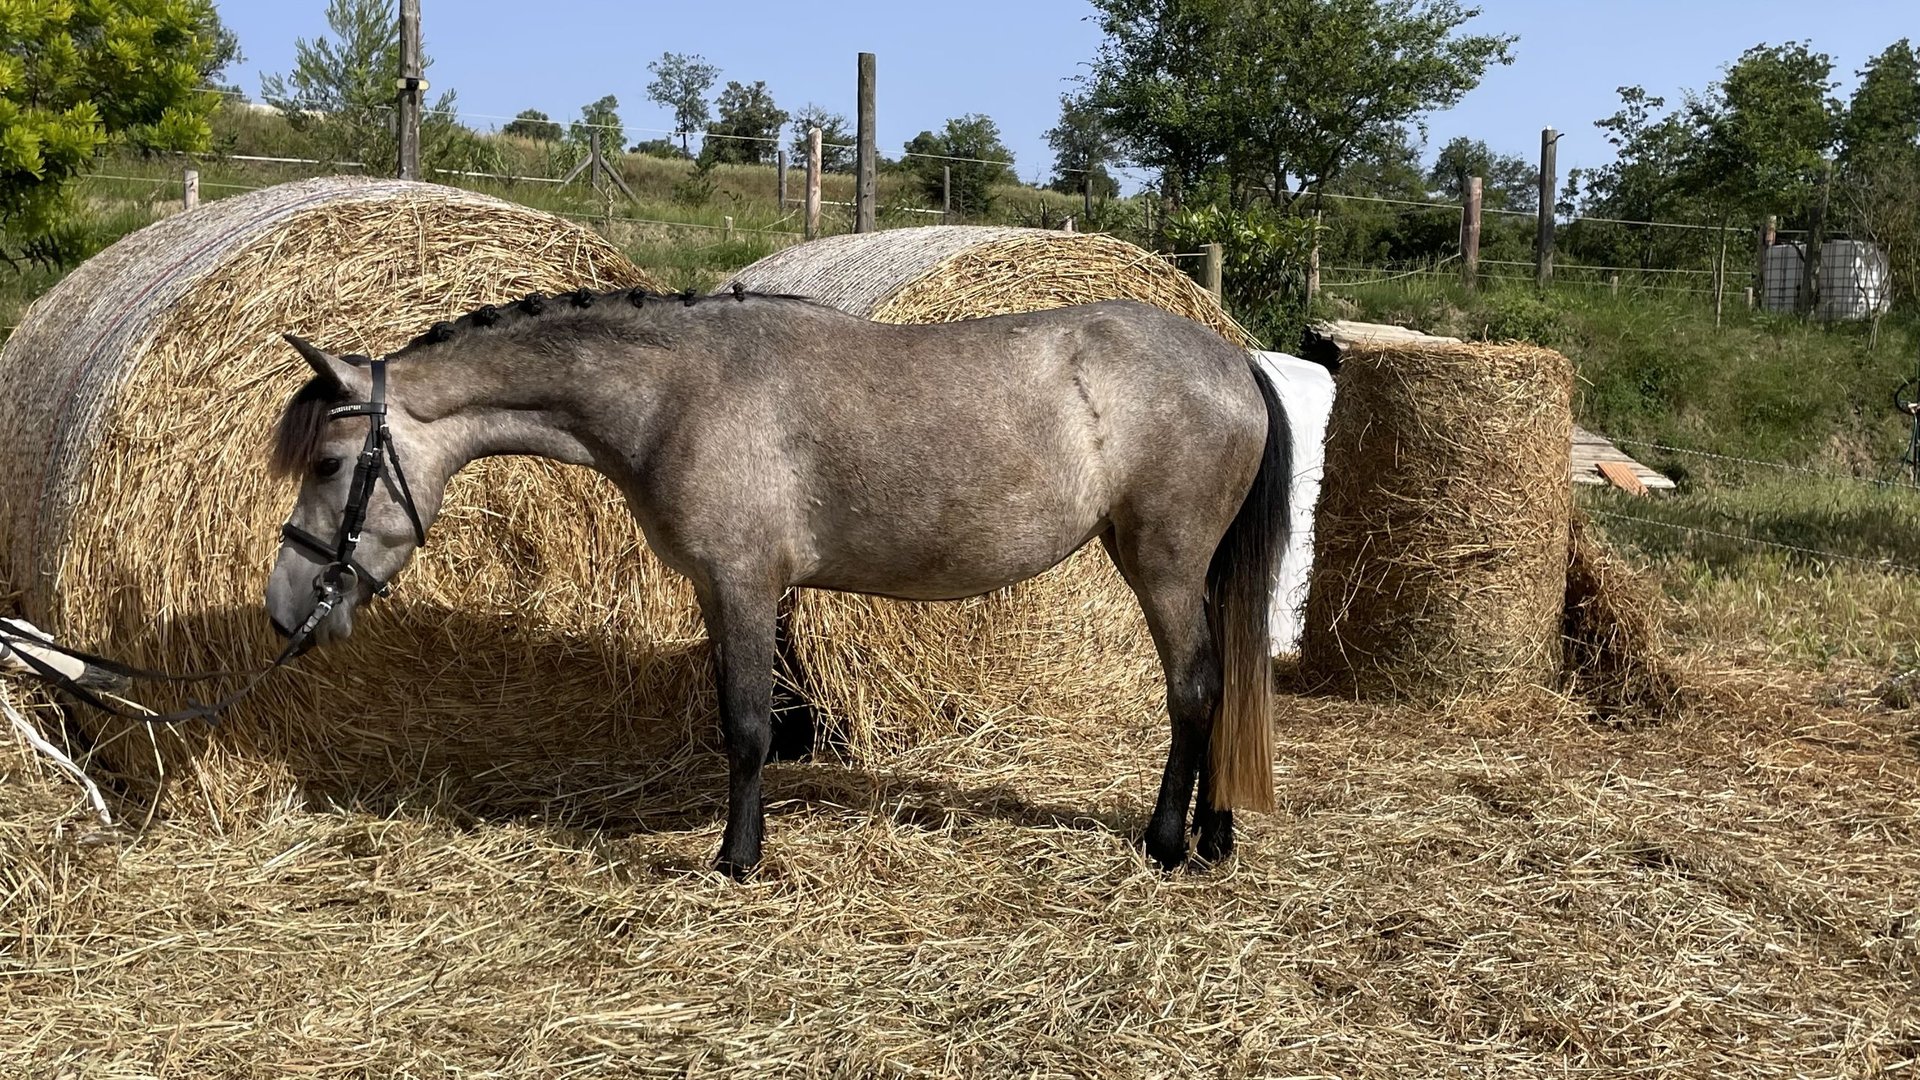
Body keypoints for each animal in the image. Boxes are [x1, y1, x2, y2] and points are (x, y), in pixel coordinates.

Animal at [265, 287, 1290, 878]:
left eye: (329, 463)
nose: (284, 606)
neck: (679, 393)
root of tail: (1234, 357)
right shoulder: (719, 595)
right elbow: (744, 724)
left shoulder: (746, 588)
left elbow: (749, 729)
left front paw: (737, 859)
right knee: (1222, 689)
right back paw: (1215, 836)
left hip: (1164, 565)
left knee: (1195, 691)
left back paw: (1168, 845)